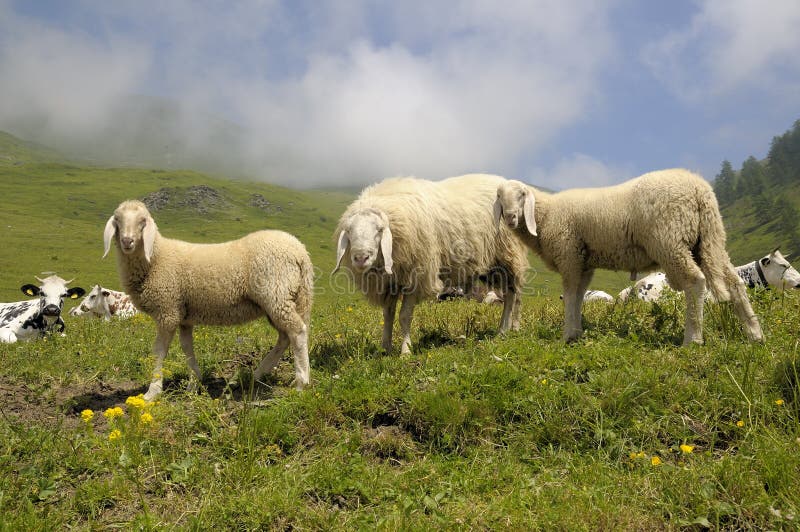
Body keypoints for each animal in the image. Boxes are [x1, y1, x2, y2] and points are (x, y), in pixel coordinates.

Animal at [103, 200, 314, 400]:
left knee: (297, 331)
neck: (156, 257)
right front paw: (193, 383)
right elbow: (187, 347)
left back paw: (301, 383)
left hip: (276, 295)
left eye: (143, 221)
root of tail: (300, 252)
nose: (127, 241)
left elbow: (159, 351)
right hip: (282, 300)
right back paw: (256, 375)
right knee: (285, 337)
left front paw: (152, 391)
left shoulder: (167, 310)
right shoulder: (183, 315)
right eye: (117, 220)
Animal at [334, 174, 529, 354]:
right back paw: (508, 328)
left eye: (380, 230)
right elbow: (387, 315)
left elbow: (404, 316)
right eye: (349, 231)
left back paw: (505, 330)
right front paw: (385, 349)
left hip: (507, 256)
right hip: (492, 266)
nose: (360, 258)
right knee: (509, 294)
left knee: (512, 296)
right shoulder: (391, 282)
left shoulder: (417, 276)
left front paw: (405, 351)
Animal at [494, 169, 763, 345]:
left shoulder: (568, 254)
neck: (545, 214)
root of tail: (700, 189)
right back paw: (754, 334)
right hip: (709, 240)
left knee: (695, 281)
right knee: (735, 282)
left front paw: (567, 335)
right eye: (499, 196)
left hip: (670, 240)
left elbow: (570, 296)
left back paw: (693, 339)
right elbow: (580, 296)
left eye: (521, 195)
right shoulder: (584, 261)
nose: (510, 217)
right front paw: (577, 332)